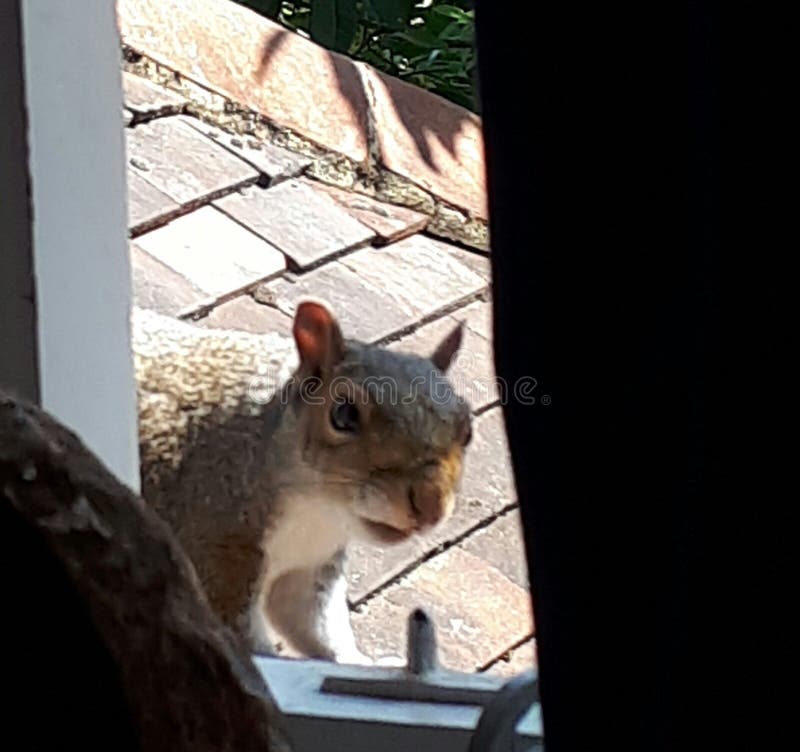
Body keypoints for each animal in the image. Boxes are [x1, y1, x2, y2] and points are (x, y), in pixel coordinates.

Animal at [132, 300, 472, 664]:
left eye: (468, 430)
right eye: (343, 415)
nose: (431, 505)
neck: (315, 508)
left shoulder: (309, 569)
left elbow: (311, 624)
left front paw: (362, 663)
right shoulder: (216, 544)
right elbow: (242, 641)